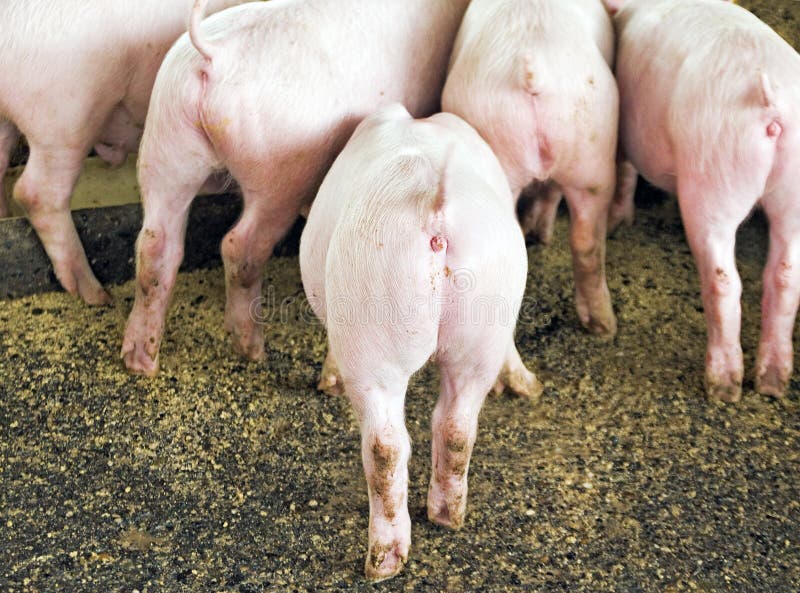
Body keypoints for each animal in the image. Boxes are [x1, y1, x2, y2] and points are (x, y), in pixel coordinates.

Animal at [121, 0, 475, 376]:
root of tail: (215, 55)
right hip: (279, 173)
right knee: (239, 246)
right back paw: (251, 348)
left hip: (165, 140)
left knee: (155, 244)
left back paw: (140, 360)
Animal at [299, 103, 541, 581]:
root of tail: (436, 213)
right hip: (484, 315)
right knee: (457, 426)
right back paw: (446, 517)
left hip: (369, 306)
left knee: (384, 445)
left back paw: (381, 563)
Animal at [607, 0, 800, 401]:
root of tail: (769, 99)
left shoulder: (627, 133)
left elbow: (624, 171)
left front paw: (619, 221)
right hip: (794, 190)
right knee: (786, 274)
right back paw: (772, 383)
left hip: (712, 174)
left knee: (723, 281)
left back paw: (723, 387)